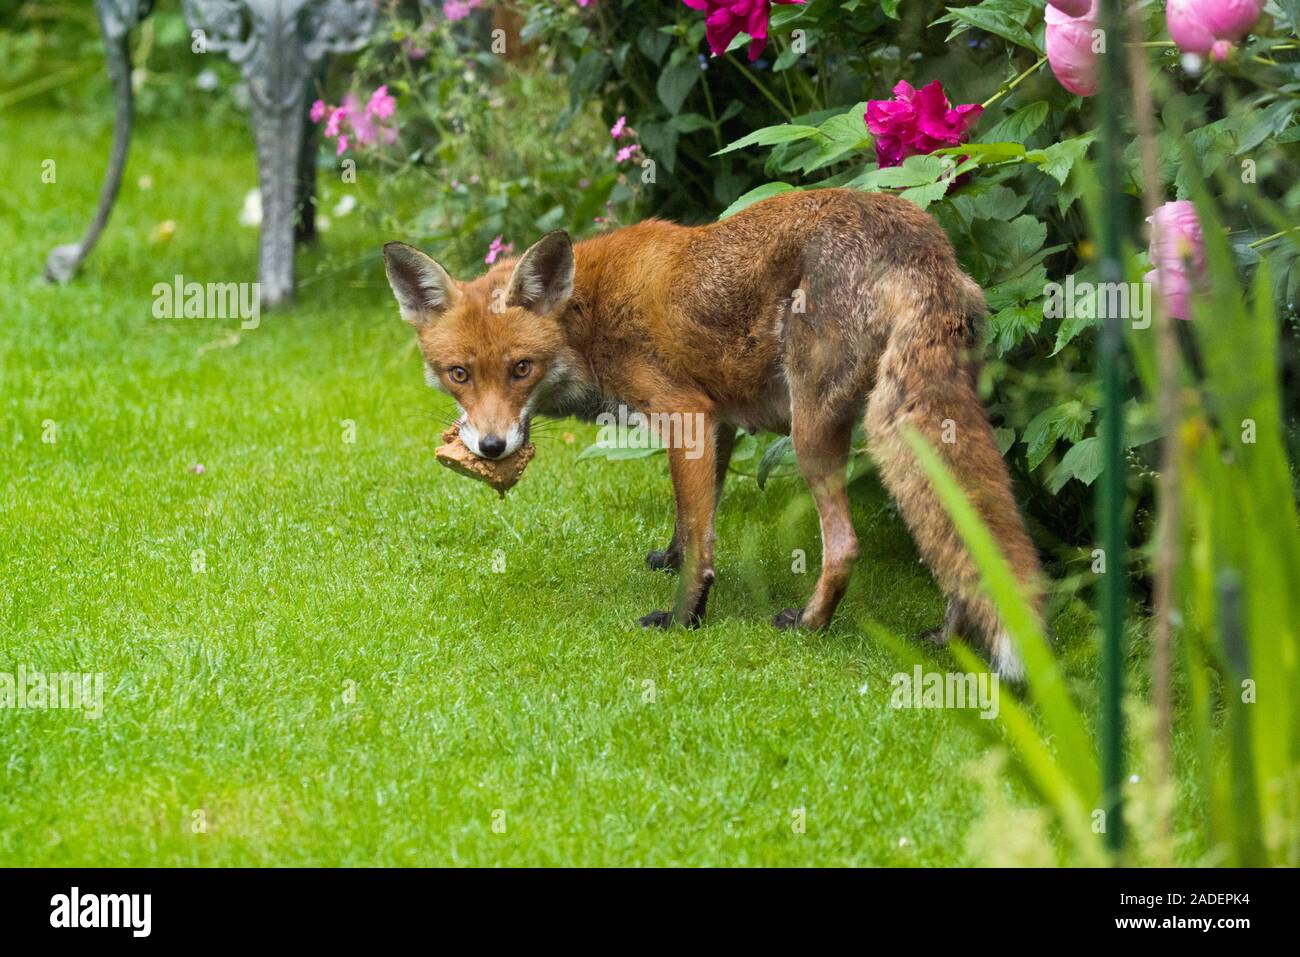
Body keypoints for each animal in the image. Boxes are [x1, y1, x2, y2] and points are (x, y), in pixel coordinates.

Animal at [383, 188, 1043, 679]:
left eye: (521, 368)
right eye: (459, 374)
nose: (492, 447)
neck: (586, 314)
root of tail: (920, 238)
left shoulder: (686, 413)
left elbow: (702, 543)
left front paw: (685, 618)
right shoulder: (719, 424)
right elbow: (692, 515)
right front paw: (669, 557)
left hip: (811, 433)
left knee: (845, 546)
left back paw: (810, 625)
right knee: (963, 532)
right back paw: (947, 635)